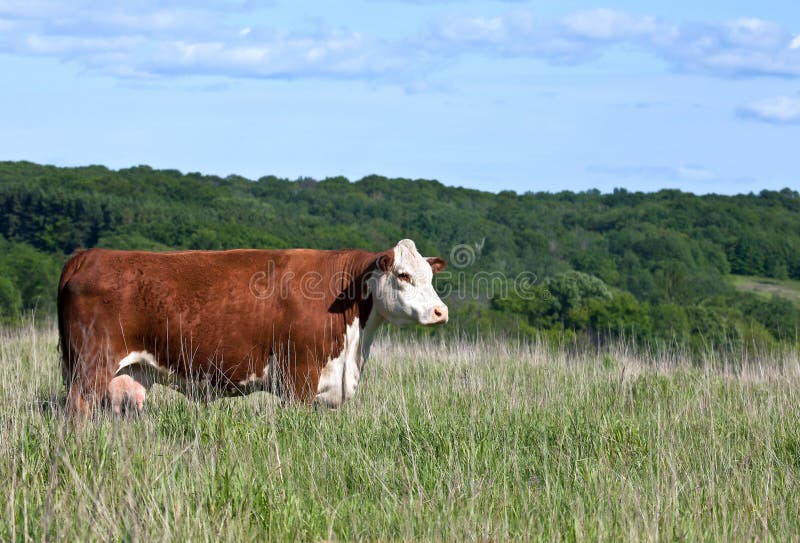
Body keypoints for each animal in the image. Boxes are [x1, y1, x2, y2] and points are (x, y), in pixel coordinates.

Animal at [57, 239, 448, 417]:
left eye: (429, 276)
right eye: (403, 275)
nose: (440, 312)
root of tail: (92, 255)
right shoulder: (298, 378)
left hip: (126, 374)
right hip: (90, 364)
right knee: (77, 409)